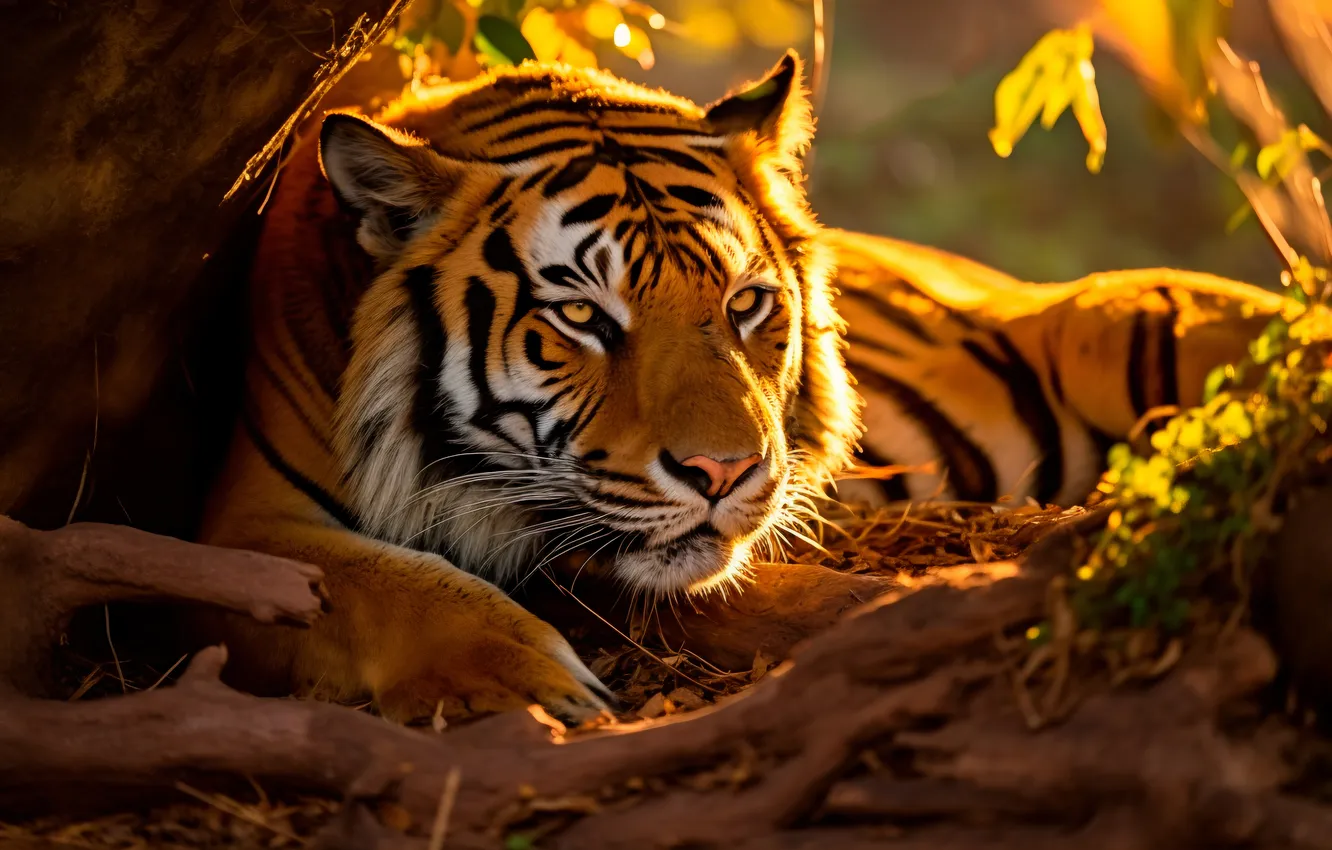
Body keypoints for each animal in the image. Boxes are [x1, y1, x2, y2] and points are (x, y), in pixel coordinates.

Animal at [197, 50, 1285, 725]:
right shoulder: (240, 527)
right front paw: (535, 682)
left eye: (746, 302)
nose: (723, 472)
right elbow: (382, 581)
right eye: (584, 315)